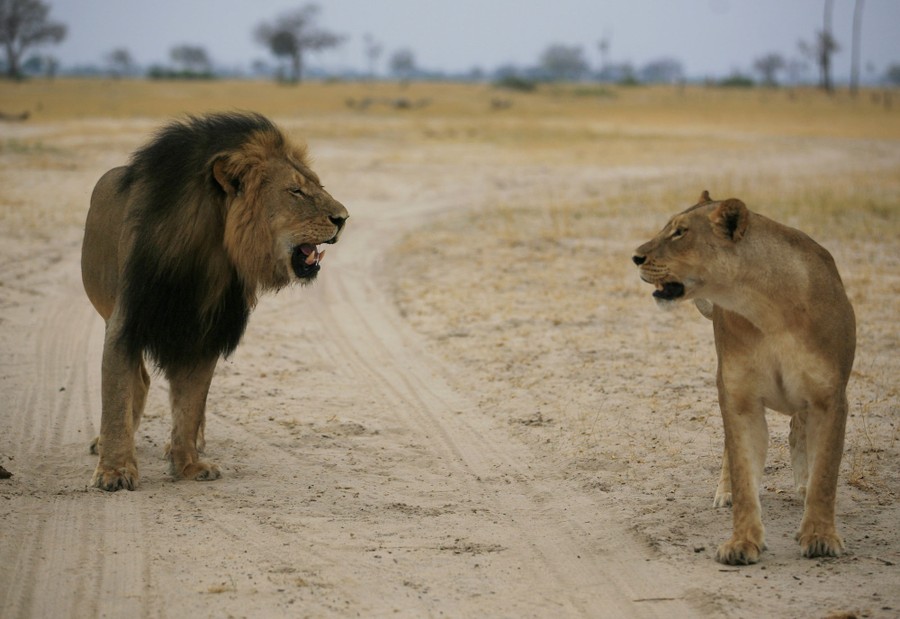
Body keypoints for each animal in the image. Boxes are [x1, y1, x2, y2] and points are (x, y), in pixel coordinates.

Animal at [81, 112, 349, 491]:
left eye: (317, 185)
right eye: (295, 190)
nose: (343, 218)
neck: (209, 254)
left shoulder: (208, 330)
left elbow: (191, 405)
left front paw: (188, 464)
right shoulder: (126, 321)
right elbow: (117, 396)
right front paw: (115, 470)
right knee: (138, 381)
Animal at [632, 191, 855, 565]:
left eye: (680, 232)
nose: (635, 257)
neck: (767, 309)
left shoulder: (830, 397)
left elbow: (825, 472)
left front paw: (820, 536)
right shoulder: (739, 399)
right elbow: (742, 468)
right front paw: (742, 542)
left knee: (798, 429)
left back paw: (802, 485)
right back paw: (726, 493)